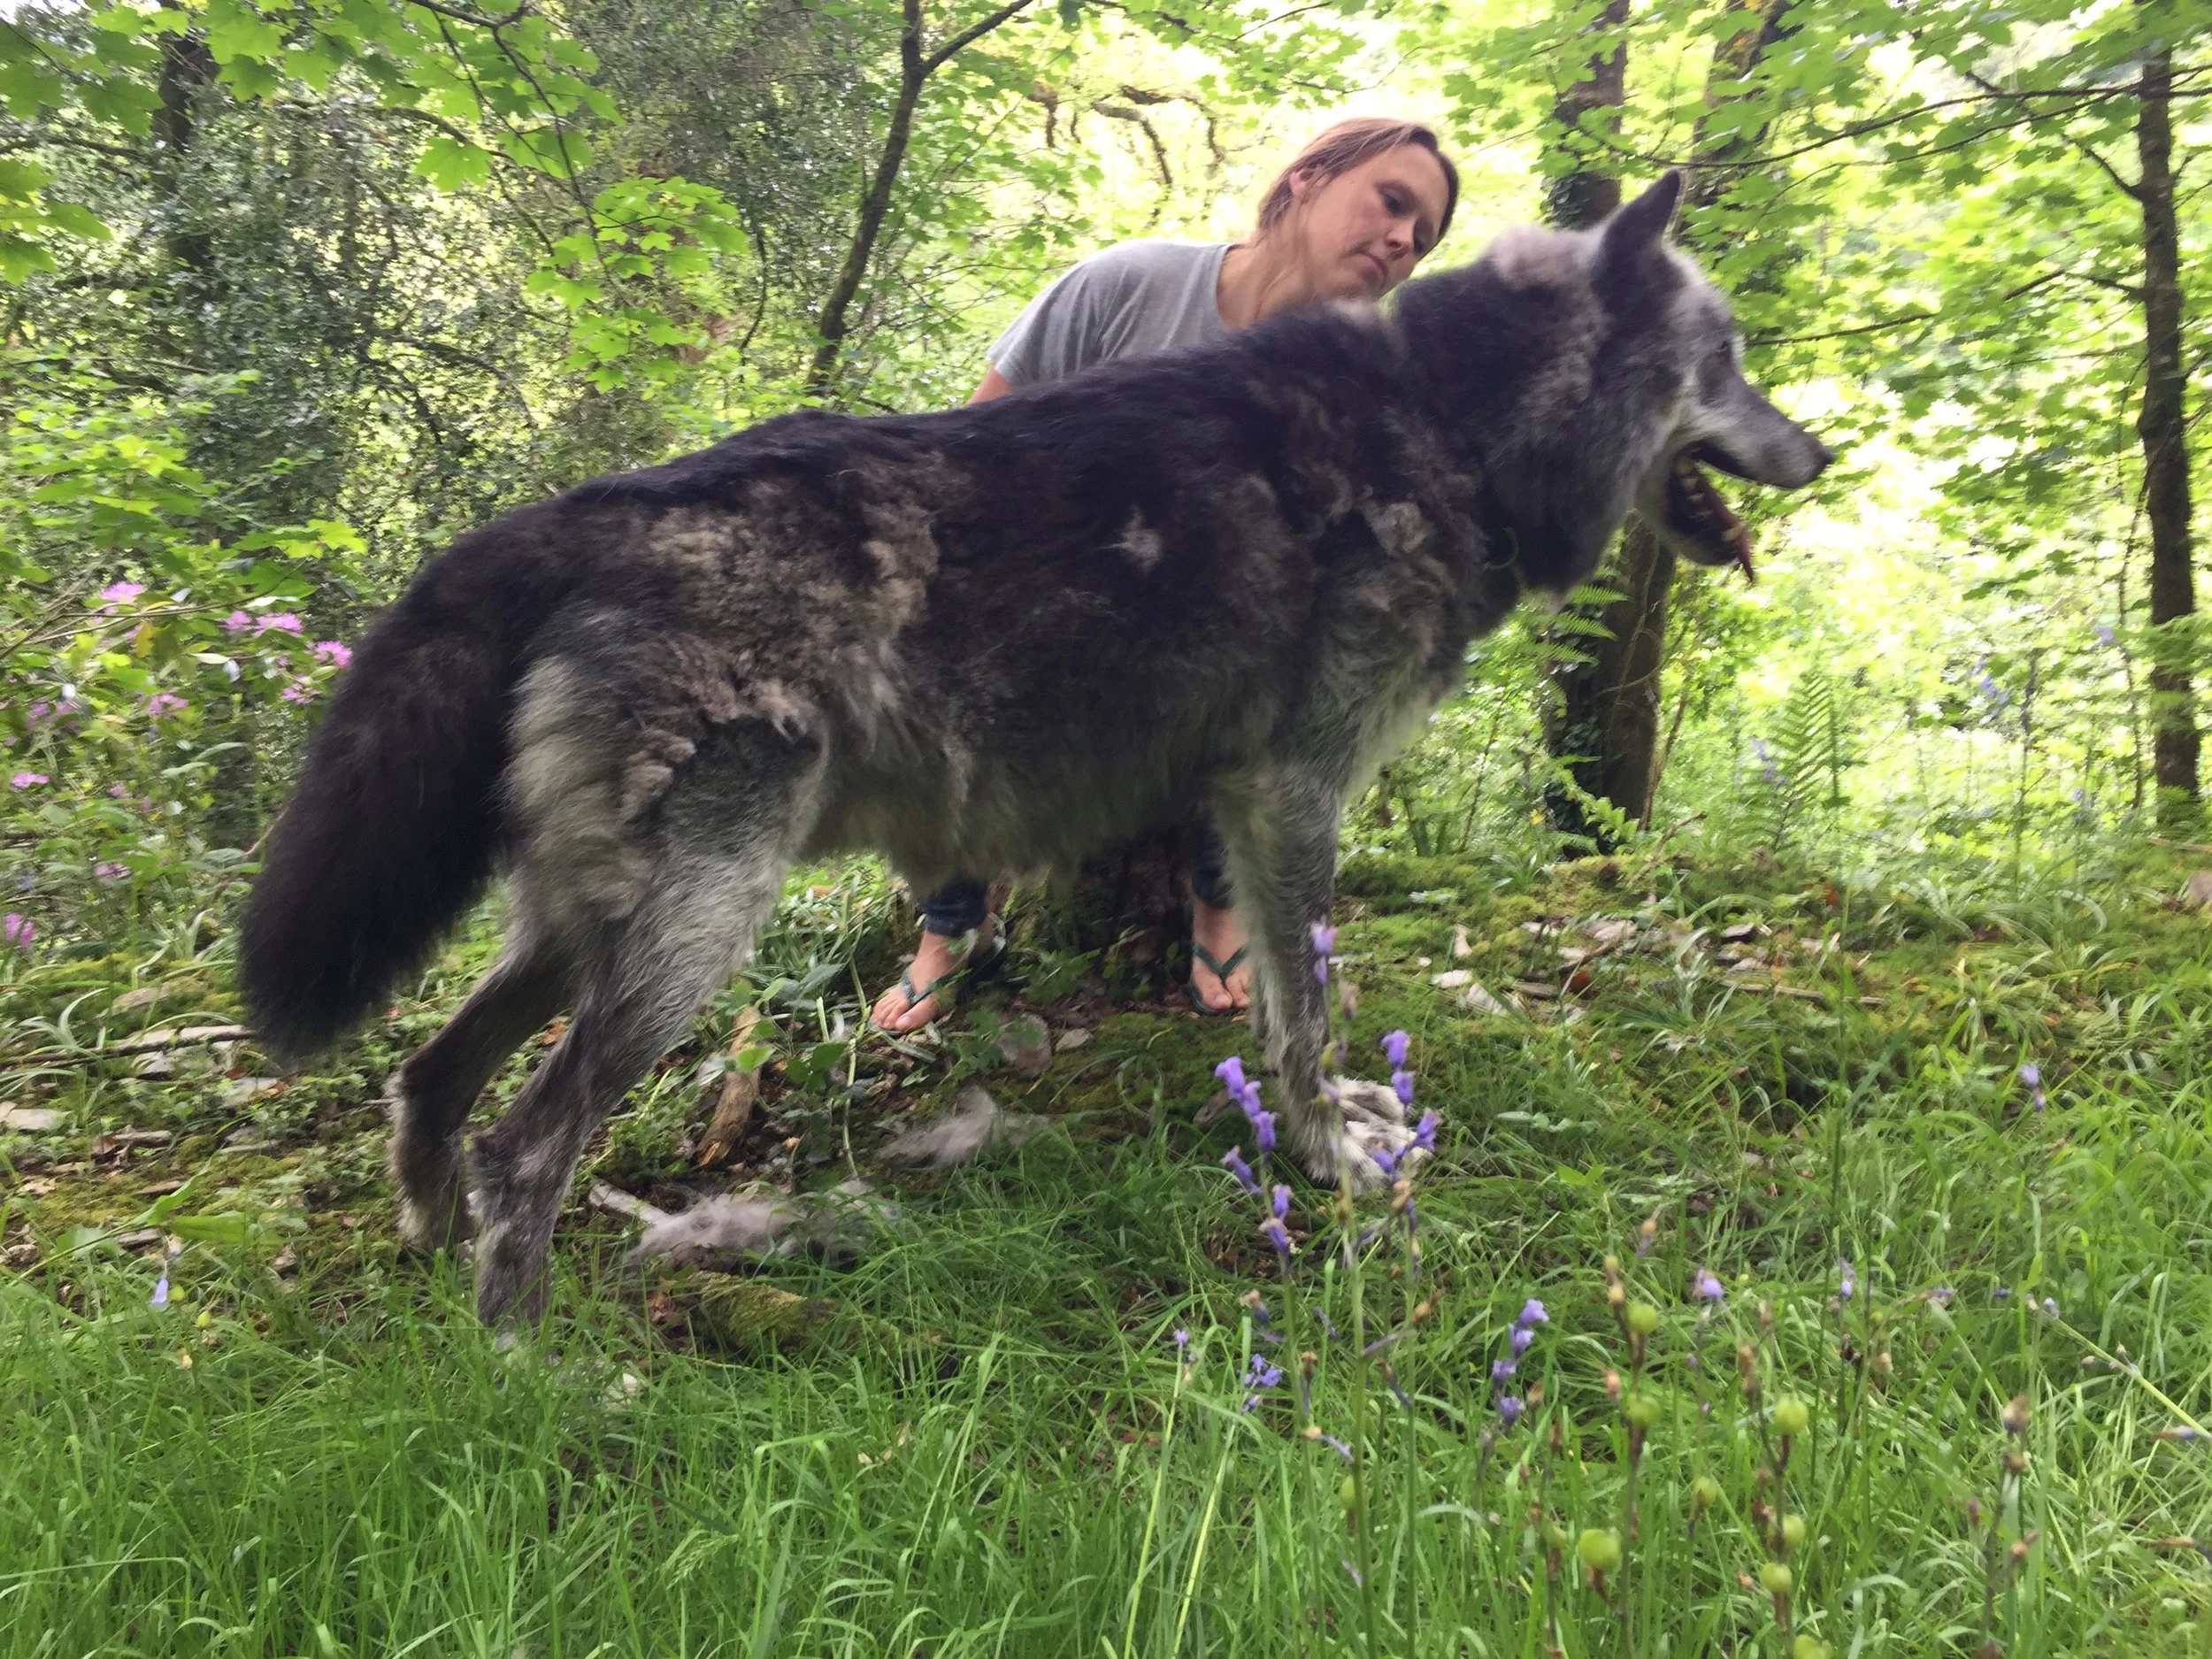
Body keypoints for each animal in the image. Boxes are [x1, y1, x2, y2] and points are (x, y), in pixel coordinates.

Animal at [239, 172, 1830, 1322]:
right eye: (1733, 360)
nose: (1822, 455)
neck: (1454, 420)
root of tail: (569, 514)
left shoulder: (1251, 803)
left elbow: (1278, 1001)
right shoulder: (1295, 792)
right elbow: (1305, 1014)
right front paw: (1323, 1151)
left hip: (588, 930)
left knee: (428, 1077)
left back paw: (426, 1252)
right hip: (689, 940)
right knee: (526, 1143)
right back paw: (530, 1361)